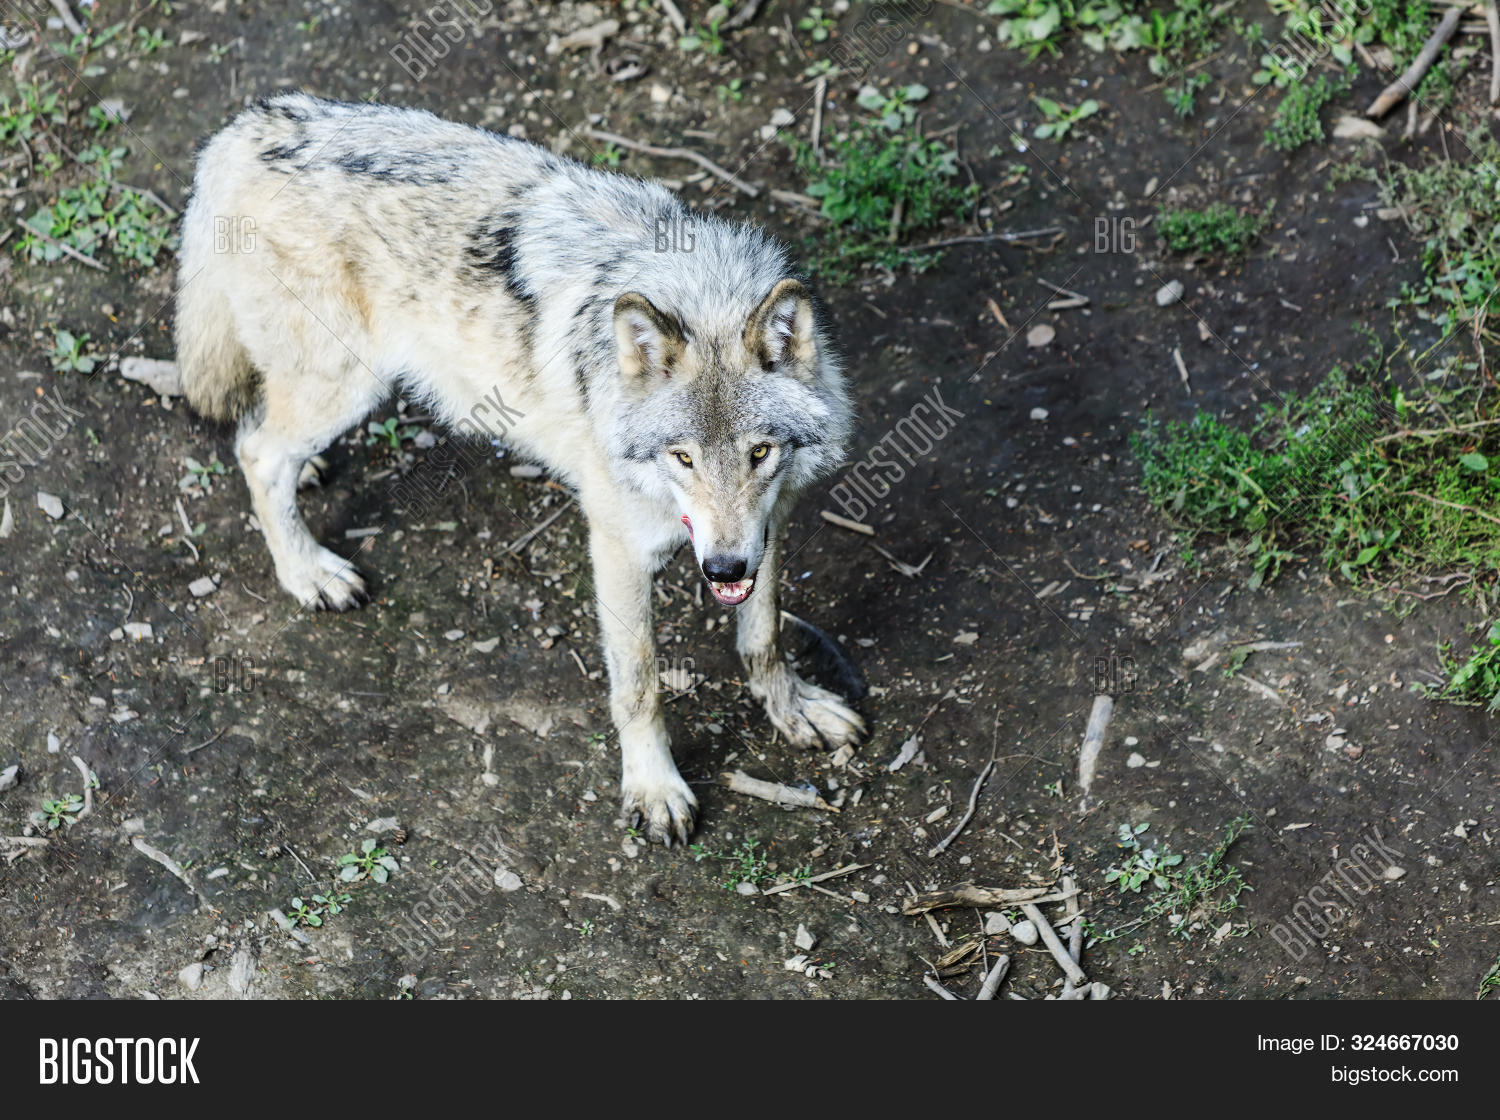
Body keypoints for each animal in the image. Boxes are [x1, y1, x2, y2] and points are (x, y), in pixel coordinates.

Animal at [175, 92, 865, 845]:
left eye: (759, 453)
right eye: (681, 457)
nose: (722, 569)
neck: (700, 291)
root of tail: (249, 126)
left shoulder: (767, 528)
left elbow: (764, 635)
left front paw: (793, 709)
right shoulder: (618, 548)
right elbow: (641, 685)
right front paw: (654, 789)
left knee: (268, 436)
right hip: (349, 385)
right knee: (254, 449)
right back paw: (308, 572)